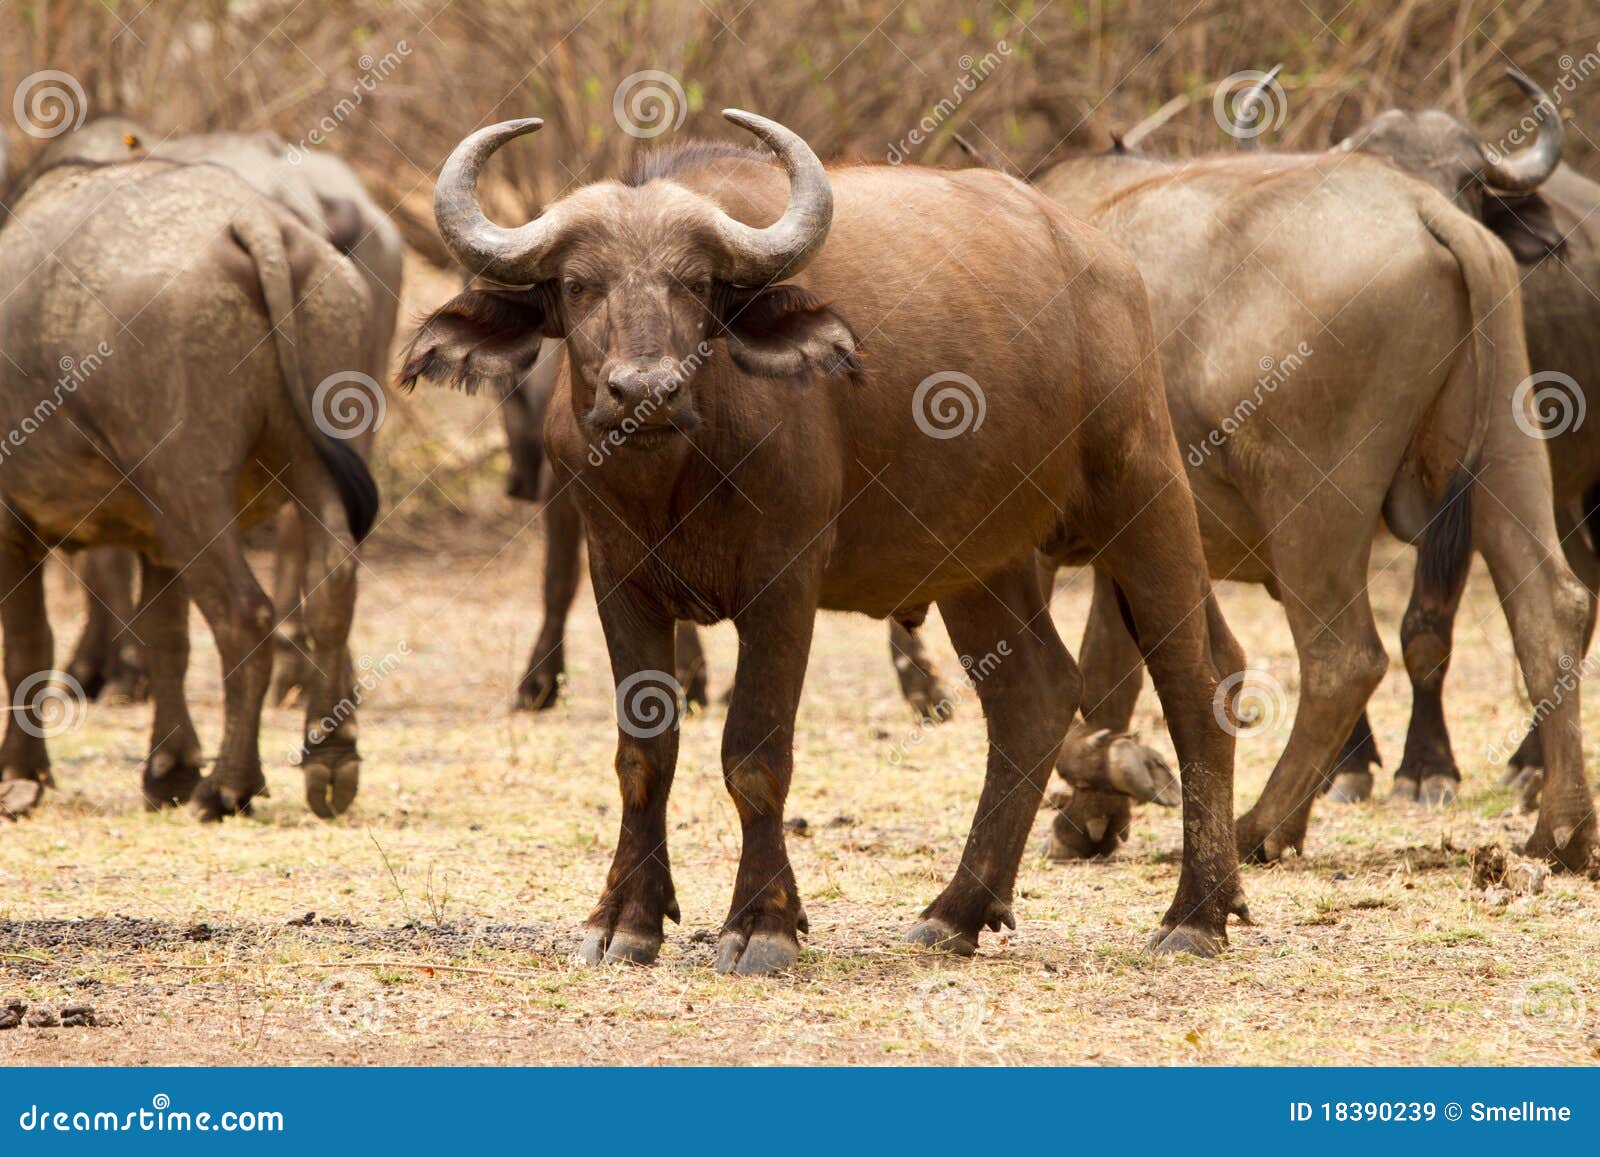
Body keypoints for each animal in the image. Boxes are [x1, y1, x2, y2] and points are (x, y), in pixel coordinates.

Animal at [403, 111, 1245, 970]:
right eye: (578, 285)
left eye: (695, 284)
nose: (645, 390)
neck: (674, 469)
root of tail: (1105, 262)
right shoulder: (619, 580)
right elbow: (643, 753)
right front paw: (625, 917)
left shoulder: (784, 582)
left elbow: (754, 754)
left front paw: (760, 923)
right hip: (982, 560)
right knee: (1033, 698)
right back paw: (957, 910)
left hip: (1144, 492)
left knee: (1197, 687)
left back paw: (1196, 913)